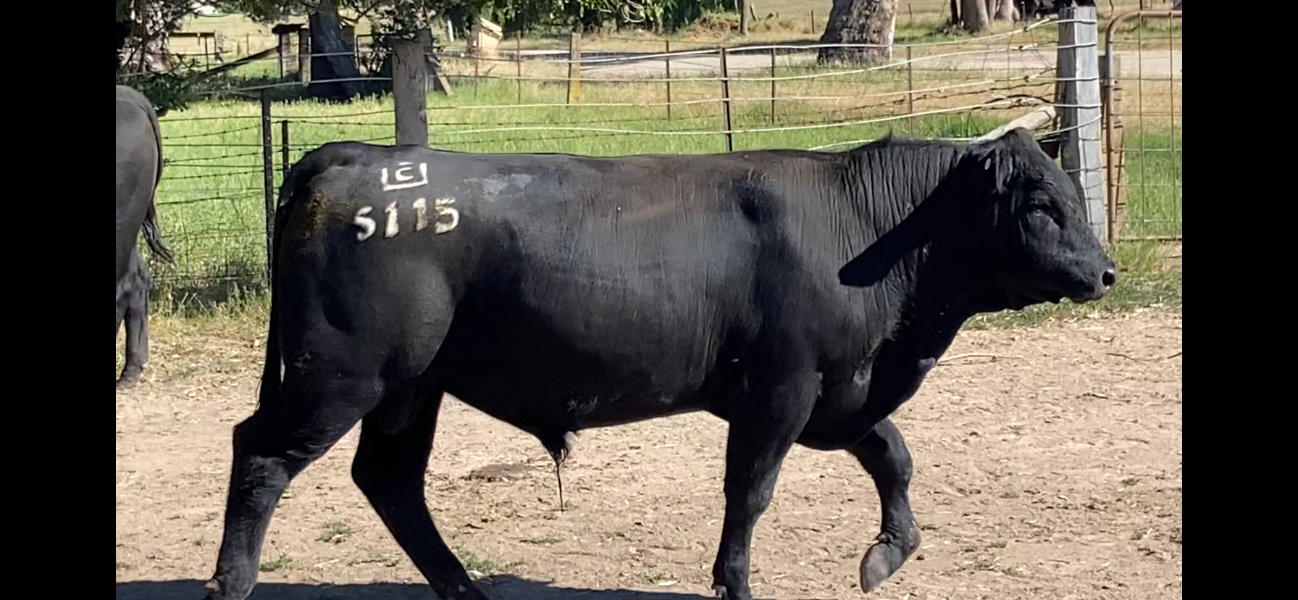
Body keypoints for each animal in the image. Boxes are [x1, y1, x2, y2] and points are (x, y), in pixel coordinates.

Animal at [203, 128, 1116, 600]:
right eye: (1041, 203)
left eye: (1073, 193)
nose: (1106, 272)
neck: (864, 224)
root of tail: (352, 156)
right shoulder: (781, 389)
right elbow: (751, 492)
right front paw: (736, 584)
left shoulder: (840, 390)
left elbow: (892, 455)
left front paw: (888, 552)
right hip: (341, 375)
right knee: (263, 456)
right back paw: (232, 585)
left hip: (408, 389)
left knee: (390, 481)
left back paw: (464, 589)